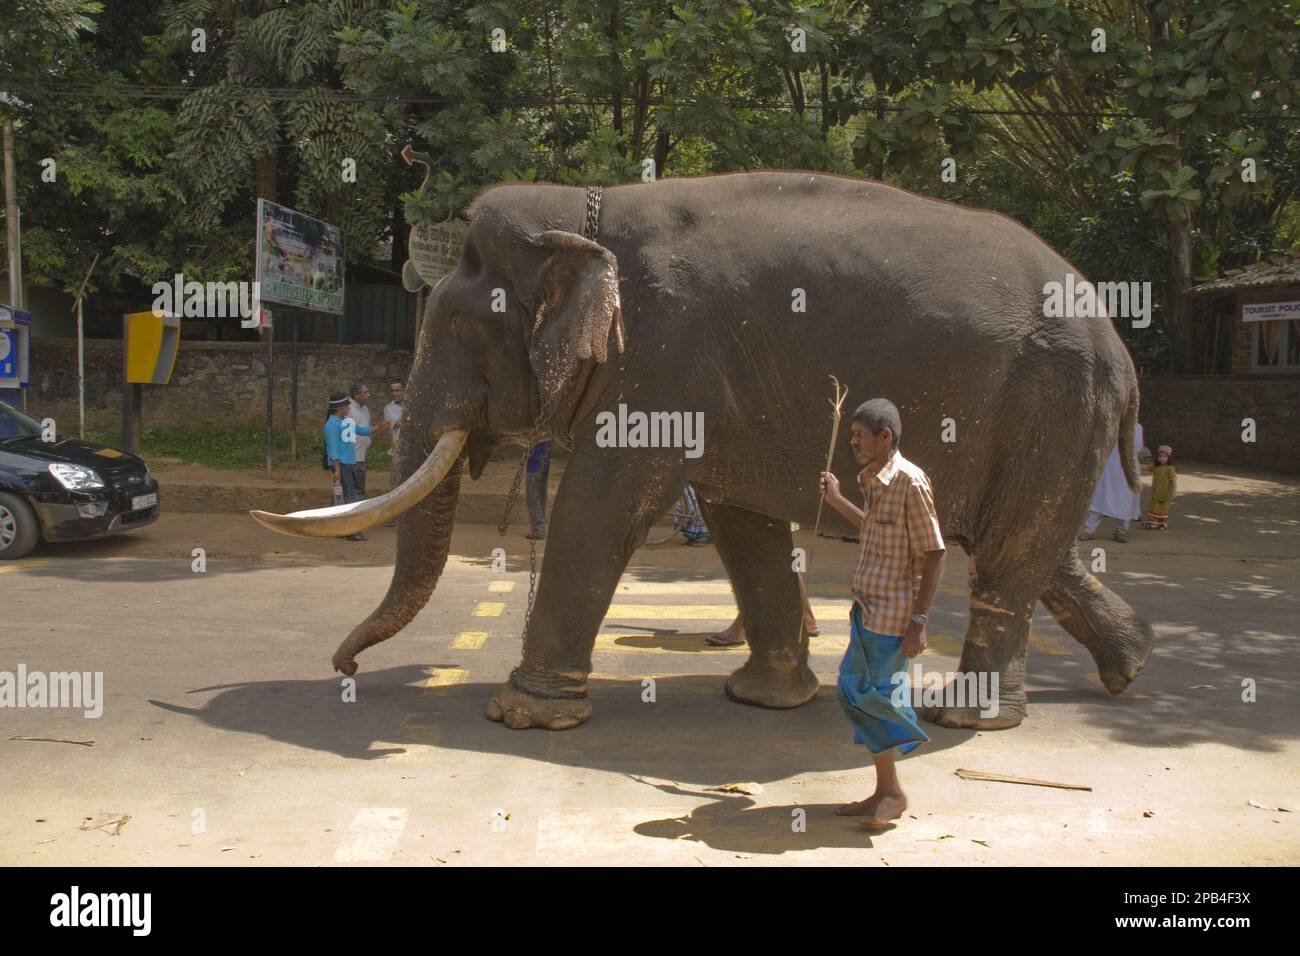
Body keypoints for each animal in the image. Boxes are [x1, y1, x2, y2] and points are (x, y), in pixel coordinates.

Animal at [251, 170, 1154, 732]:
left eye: (458, 329)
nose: (344, 668)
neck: (586, 208)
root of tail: (1118, 336)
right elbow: (739, 521)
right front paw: (764, 699)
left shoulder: (663, 351)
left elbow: (603, 504)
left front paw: (522, 713)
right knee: (1032, 548)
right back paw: (1131, 665)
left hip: (1053, 401)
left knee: (1009, 552)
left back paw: (969, 715)